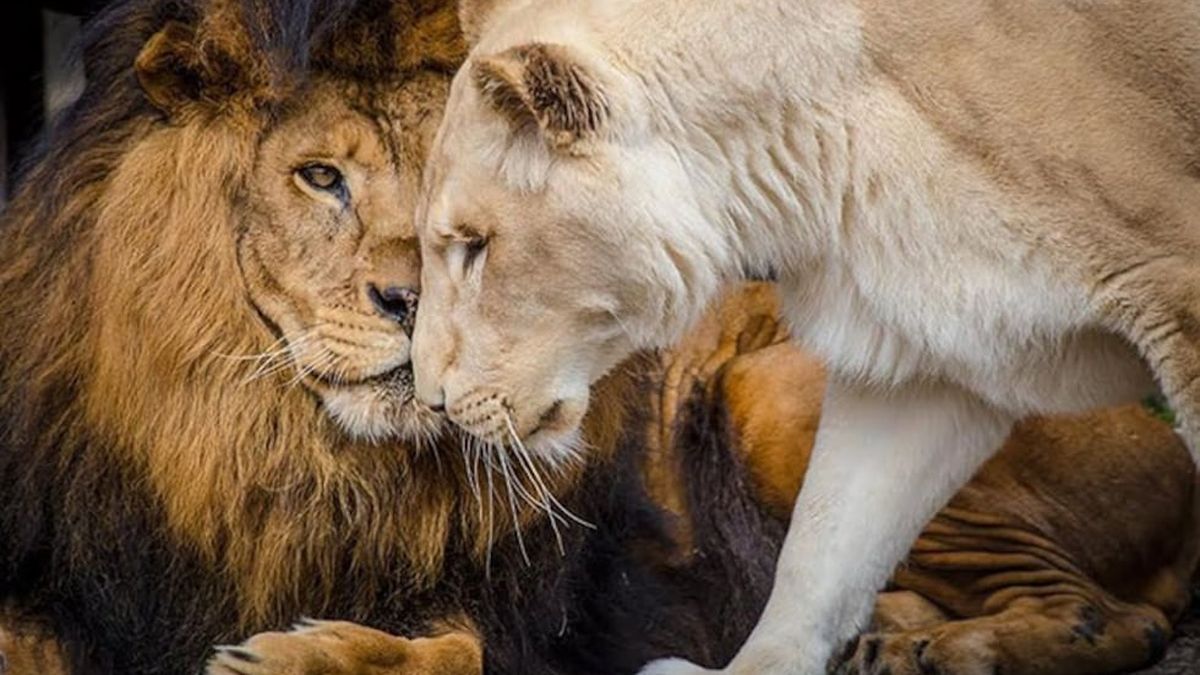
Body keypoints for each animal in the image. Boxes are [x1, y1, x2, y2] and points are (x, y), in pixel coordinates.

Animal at [410, 0, 1200, 672]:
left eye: (474, 245)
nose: (432, 400)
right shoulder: (937, 348)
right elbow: (822, 551)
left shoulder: (1175, 295)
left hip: (768, 388)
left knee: (1116, 615)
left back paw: (948, 650)